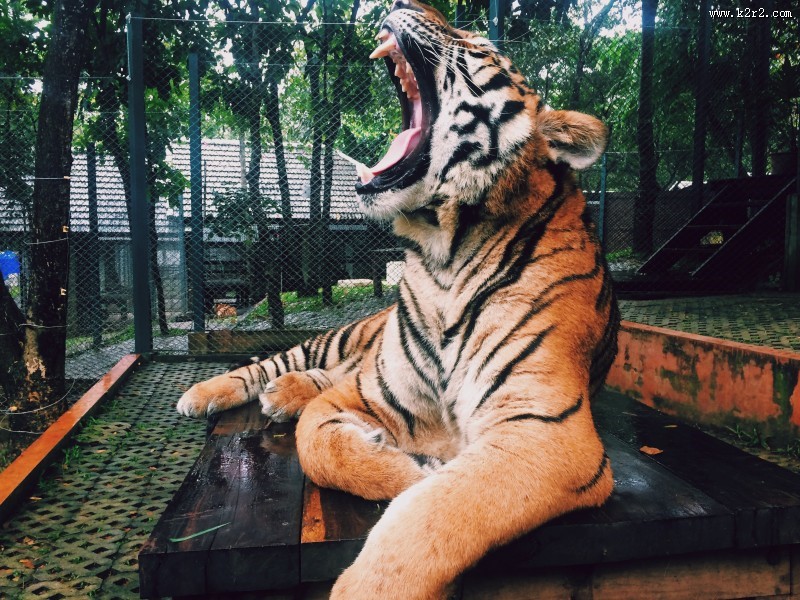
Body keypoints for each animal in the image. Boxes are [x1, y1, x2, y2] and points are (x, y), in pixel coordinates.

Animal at [177, 1, 619, 598]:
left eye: (480, 45)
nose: (409, 6)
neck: (443, 256)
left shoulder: (545, 431)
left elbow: (438, 509)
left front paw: (421, 486)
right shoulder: (369, 391)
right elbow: (319, 445)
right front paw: (410, 469)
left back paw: (282, 395)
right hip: (340, 339)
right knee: (274, 363)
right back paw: (207, 393)